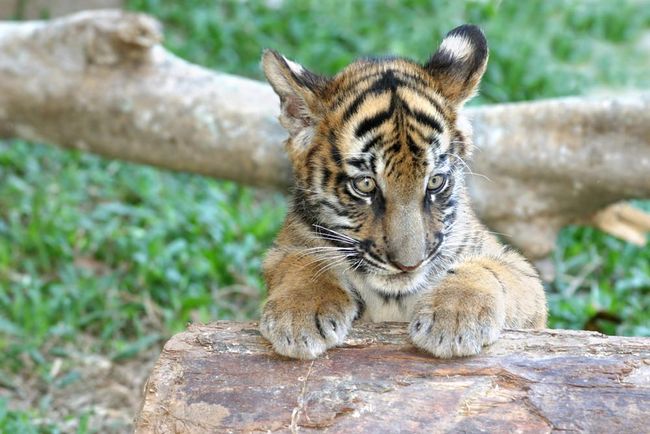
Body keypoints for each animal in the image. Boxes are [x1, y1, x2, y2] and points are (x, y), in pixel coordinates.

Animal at [259, 24, 547, 359]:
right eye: (365, 184)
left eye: (434, 182)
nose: (409, 265)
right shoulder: (284, 249)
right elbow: (302, 261)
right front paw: (299, 316)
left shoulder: (519, 271)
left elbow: (488, 269)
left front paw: (455, 317)